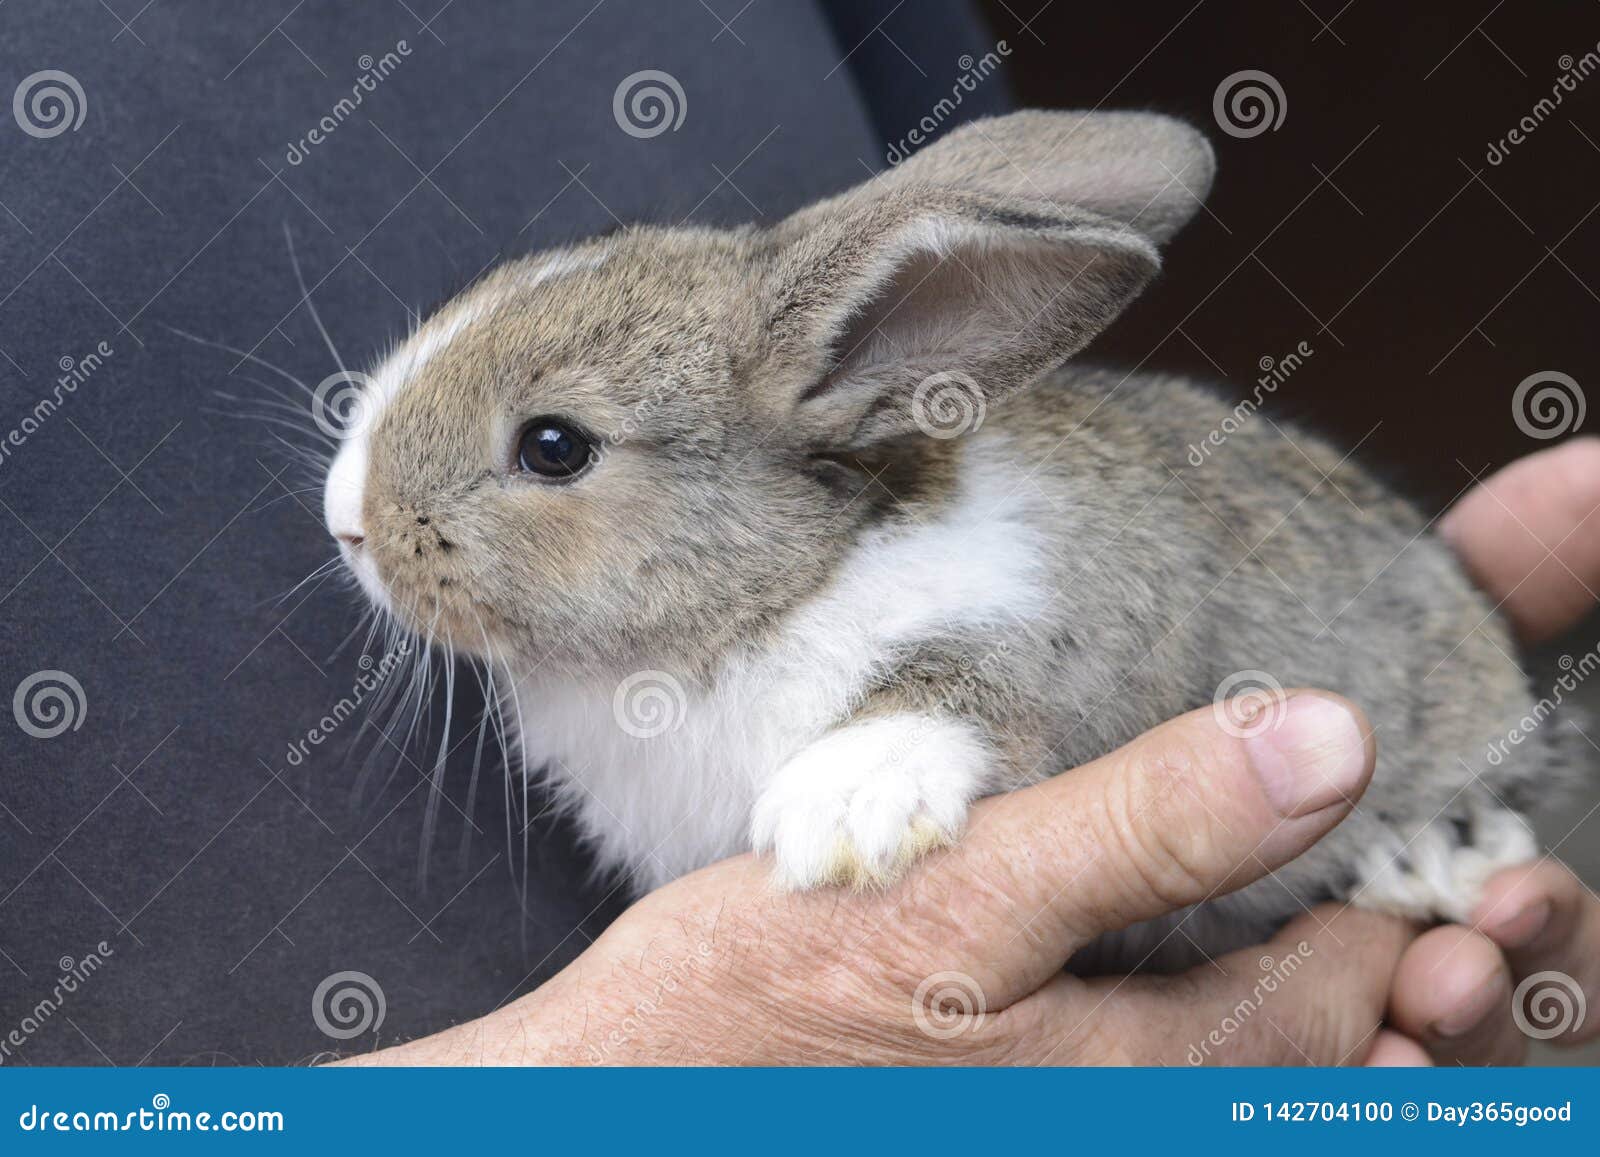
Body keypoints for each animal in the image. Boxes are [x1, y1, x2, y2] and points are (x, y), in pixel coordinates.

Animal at [321, 110, 1586, 972]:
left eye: (552, 447)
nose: (346, 519)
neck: (775, 592)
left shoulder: (1059, 621)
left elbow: (961, 682)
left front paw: (842, 809)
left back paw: (1427, 861)